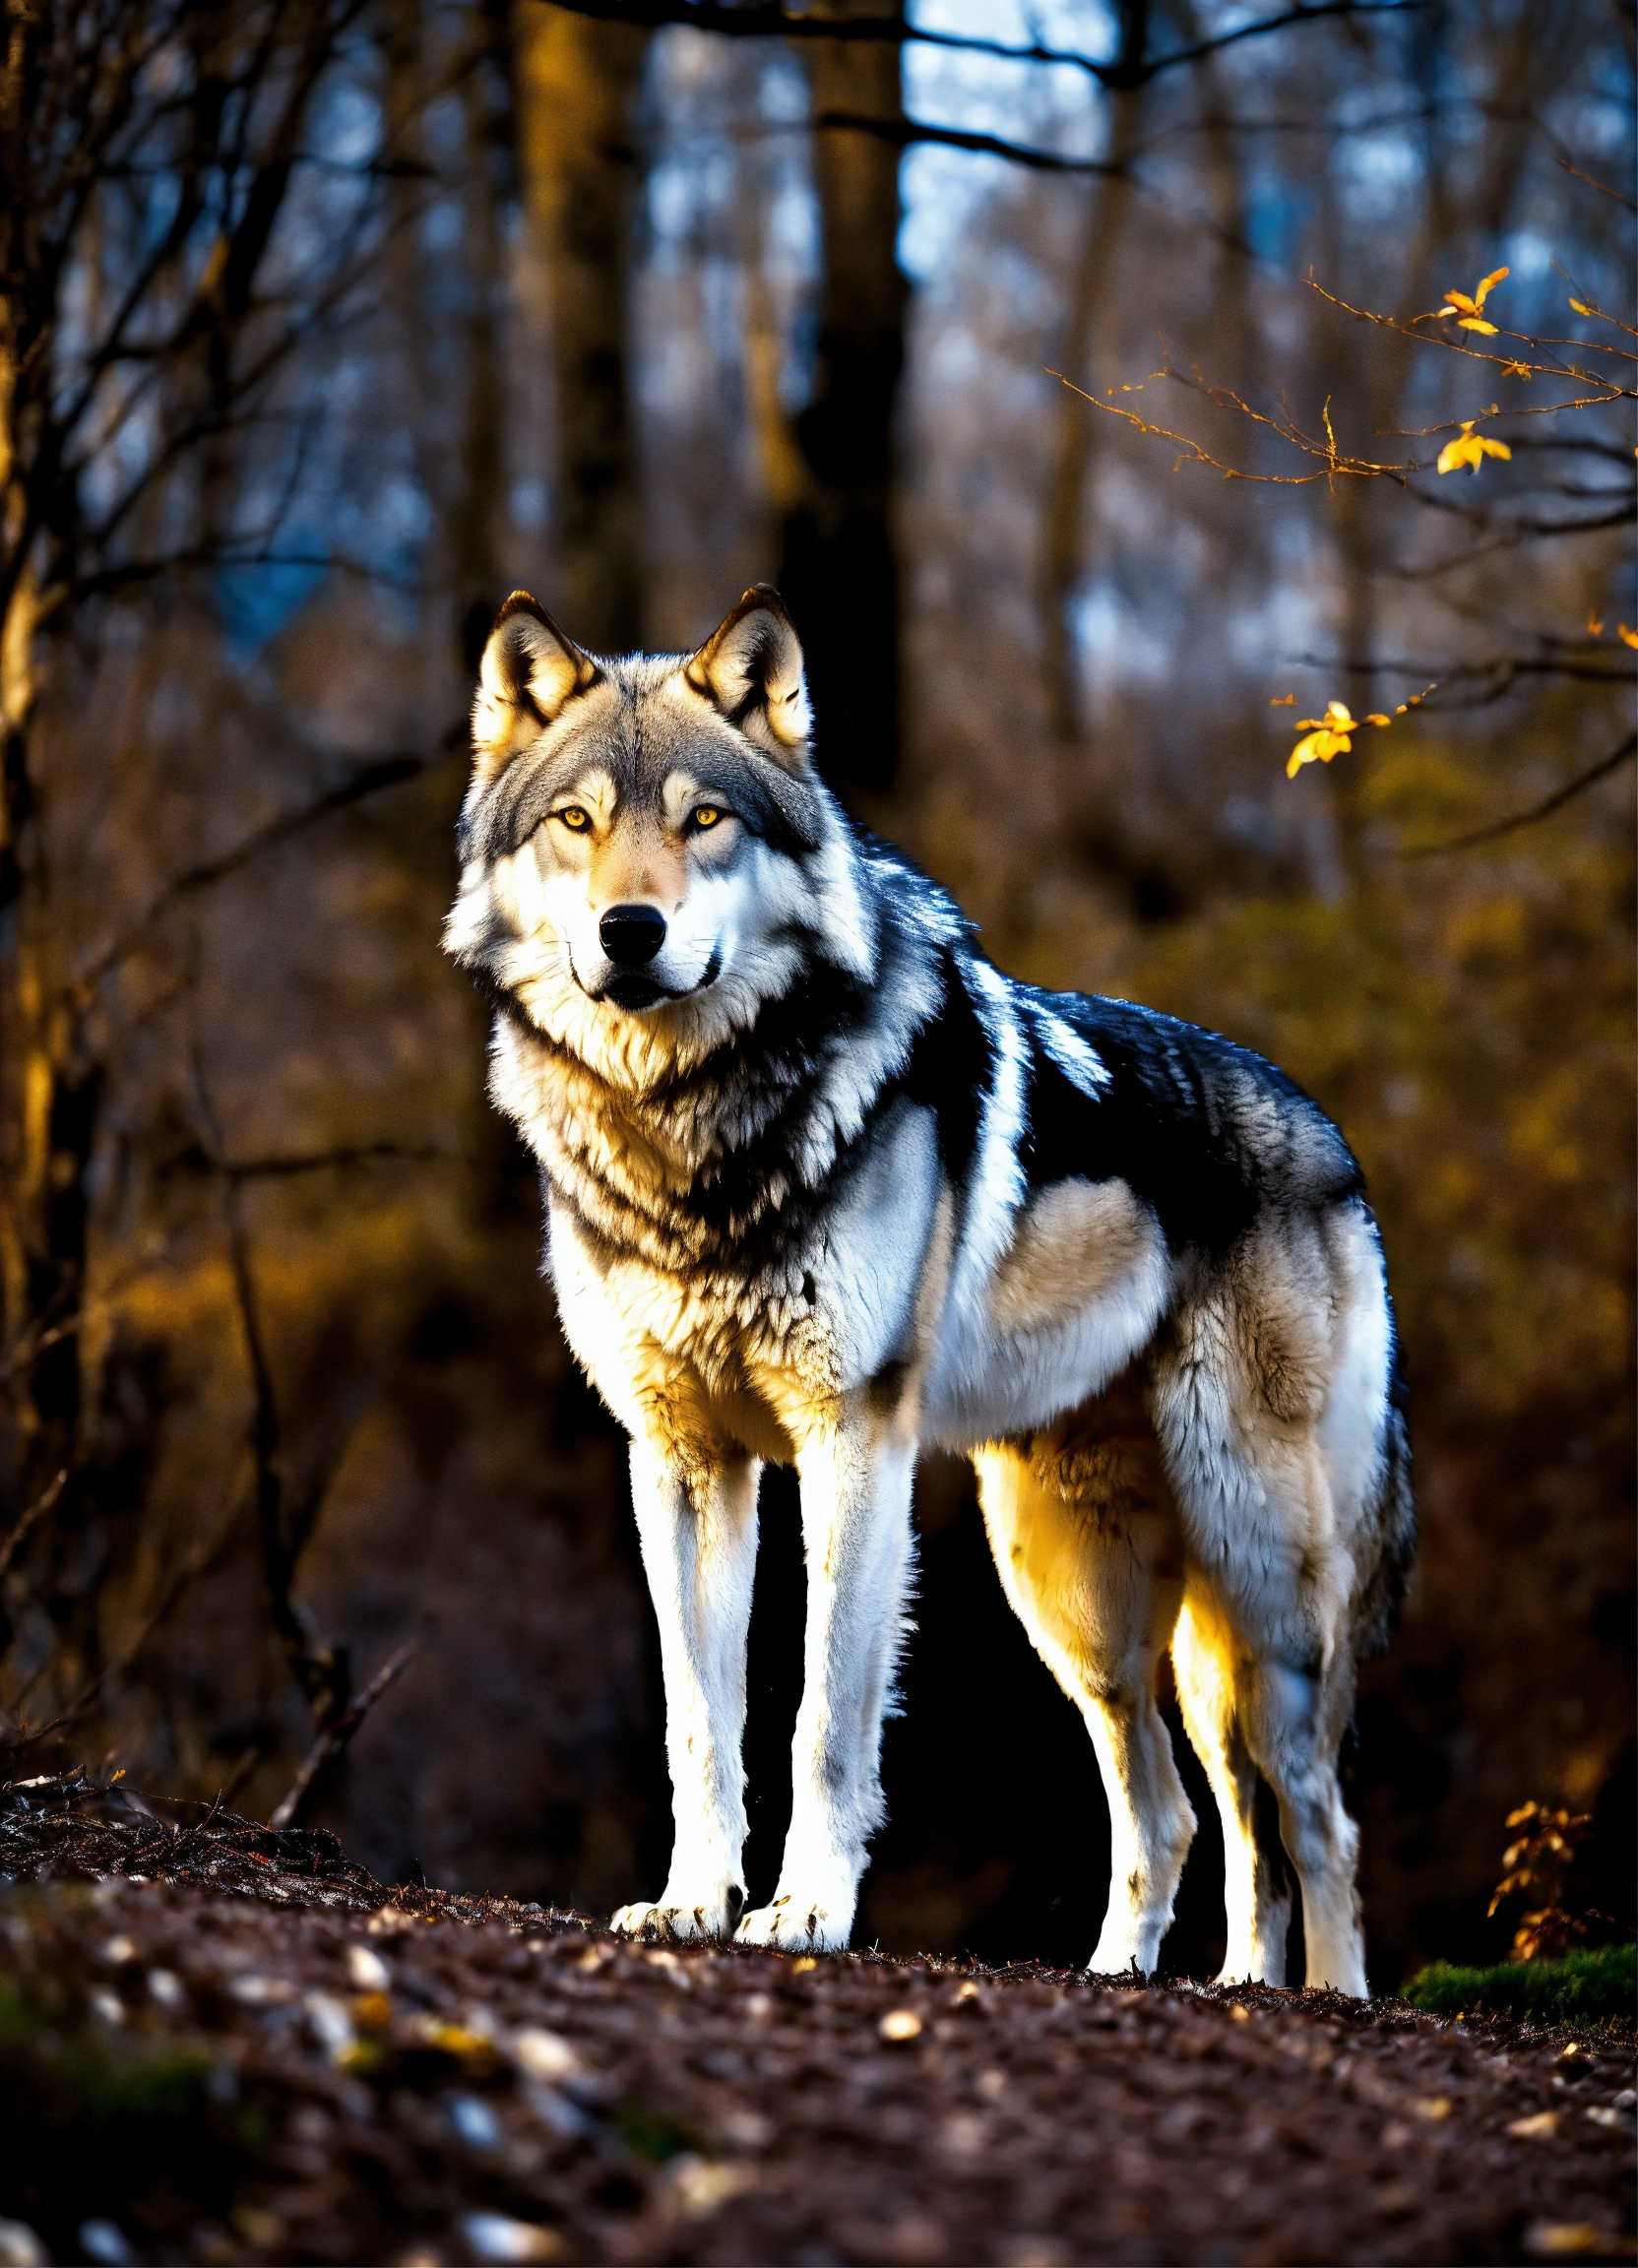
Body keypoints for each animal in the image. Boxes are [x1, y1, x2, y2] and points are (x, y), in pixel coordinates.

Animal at [445, 584, 1413, 1996]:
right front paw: (690, 1904)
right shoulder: (678, 1458)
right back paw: (1160, 1977)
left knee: (1313, 1810)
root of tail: (1335, 1143)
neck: (692, 1137)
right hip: (1077, 1604)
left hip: (1251, 1566)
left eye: (703, 820)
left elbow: (819, 1720)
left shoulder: (850, 1441)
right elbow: (700, 1719)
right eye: (578, 823)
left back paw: (1322, 1998)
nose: (633, 932)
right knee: (1179, 1811)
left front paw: (805, 1912)